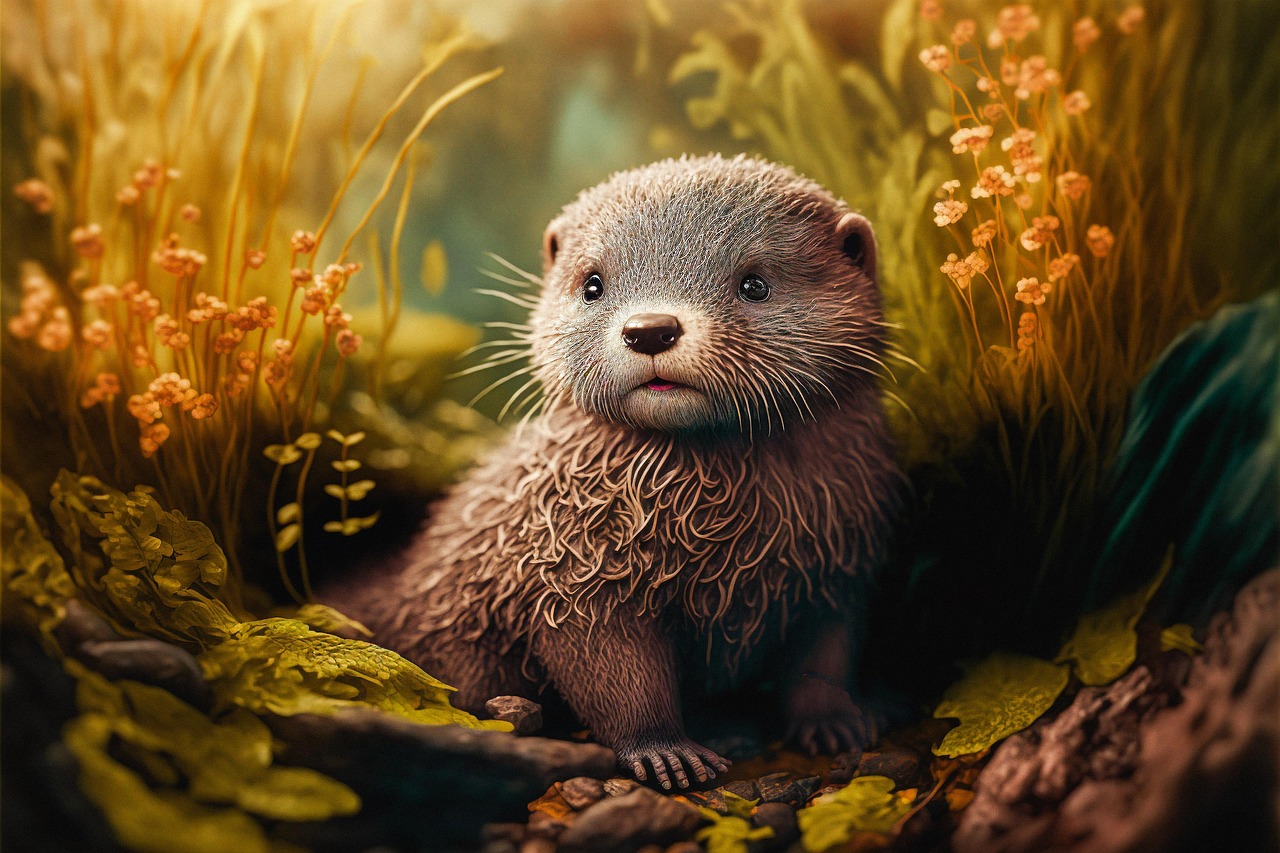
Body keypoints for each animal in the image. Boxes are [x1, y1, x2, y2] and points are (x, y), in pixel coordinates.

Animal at [327, 154, 905, 789]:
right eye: (593, 284)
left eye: (755, 284)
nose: (650, 328)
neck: (729, 535)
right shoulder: (572, 572)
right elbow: (618, 679)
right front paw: (664, 751)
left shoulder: (840, 565)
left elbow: (823, 661)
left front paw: (837, 724)